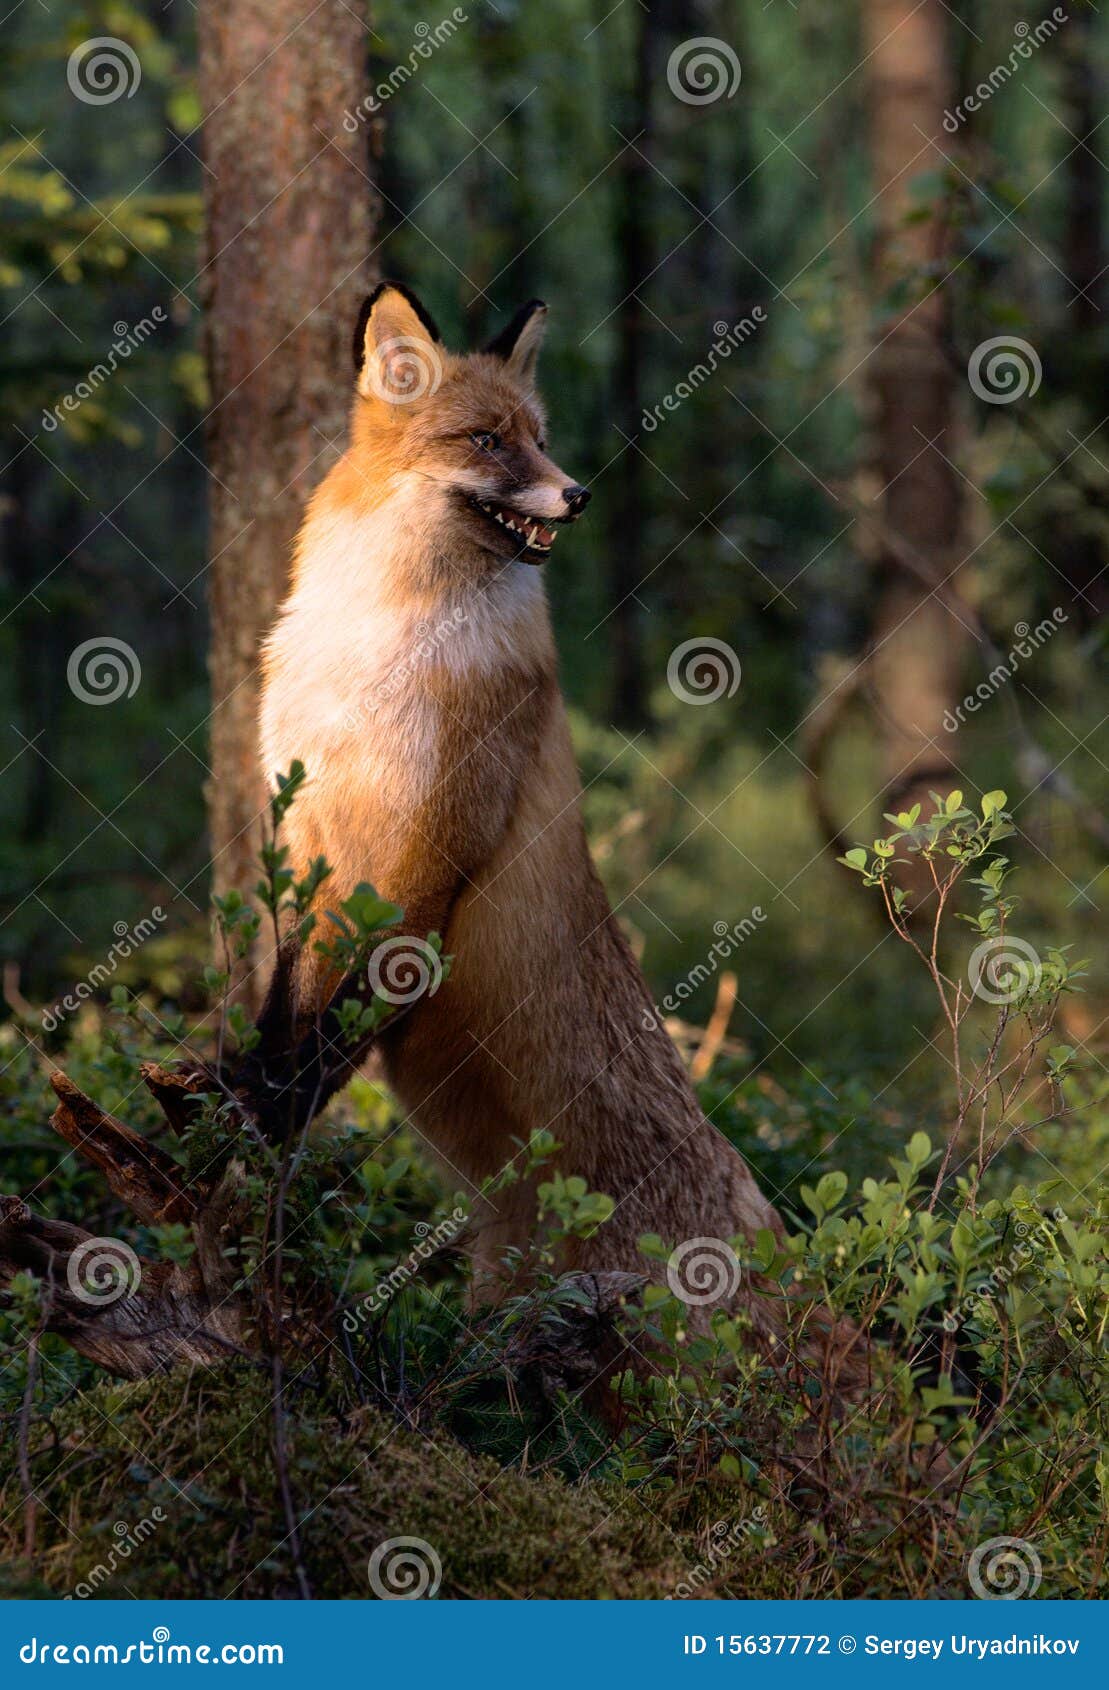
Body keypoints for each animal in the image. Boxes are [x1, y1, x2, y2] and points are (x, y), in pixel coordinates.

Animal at [257, 283, 860, 1394]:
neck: (380, 639)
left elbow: (336, 1027)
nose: (578, 494)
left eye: (539, 437)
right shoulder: (309, 835)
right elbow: (286, 1003)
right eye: (487, 441)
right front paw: (233, 1098)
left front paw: (262, 1117)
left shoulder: (426, 843)